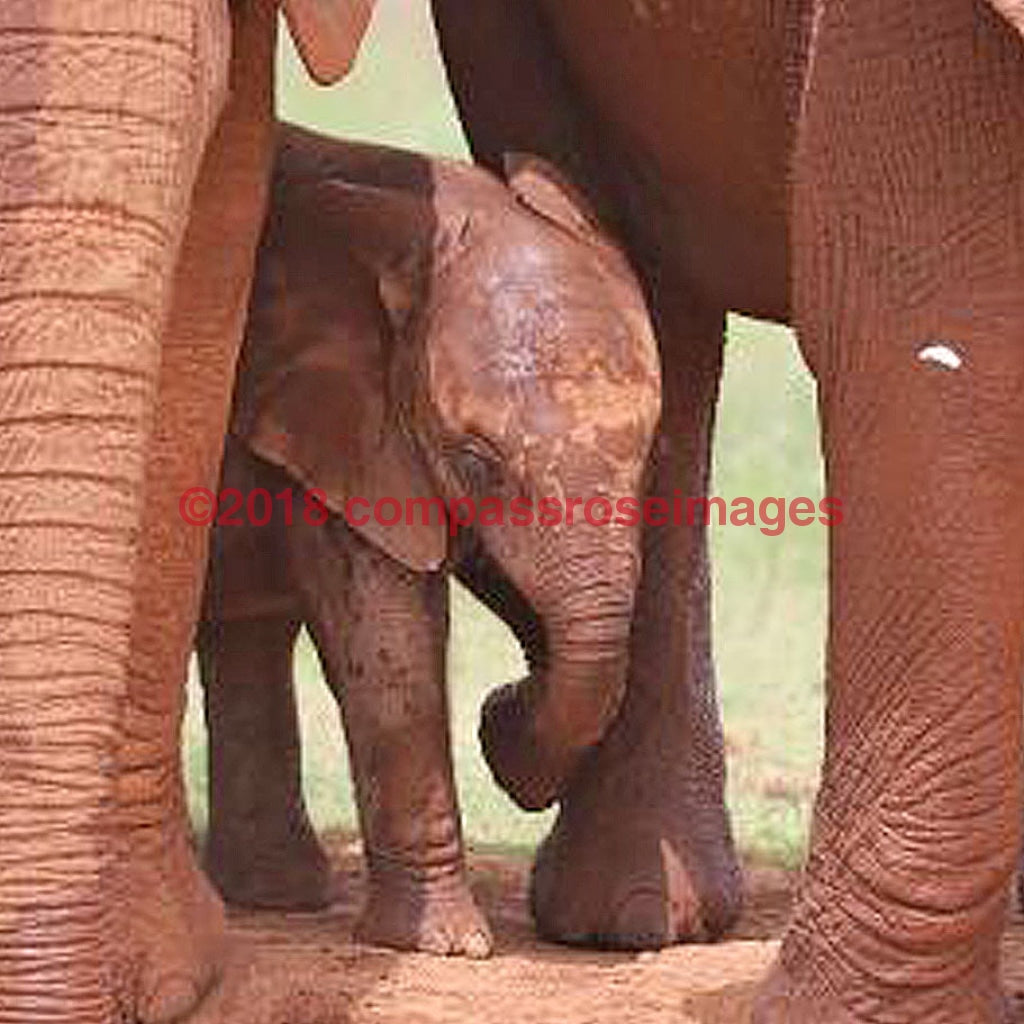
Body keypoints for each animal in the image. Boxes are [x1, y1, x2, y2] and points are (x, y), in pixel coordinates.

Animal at [195, 123, 661, 956]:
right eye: (476, 462)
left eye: (647, 455)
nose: (498, 708)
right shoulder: (344, 416)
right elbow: (389, 638)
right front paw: (445, 946)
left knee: (245, 636)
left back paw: (277, 897)